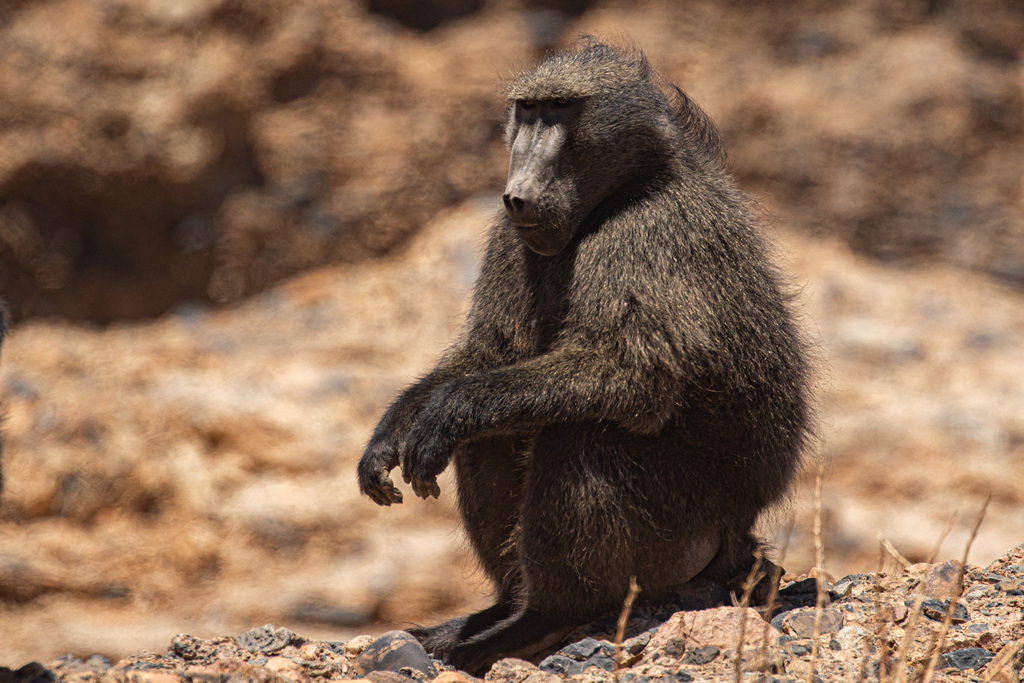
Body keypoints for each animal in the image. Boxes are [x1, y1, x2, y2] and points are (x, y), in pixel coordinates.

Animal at [357, 39, 814, 676]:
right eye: (527, 111)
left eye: (561, 111)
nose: (518, 194)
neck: (620, 191)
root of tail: (738, 536)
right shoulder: (511, 236)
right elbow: (489, 352)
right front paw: (393, 432)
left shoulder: (648, 233)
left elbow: (632, 377)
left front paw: (445, 409)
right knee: (491, 435)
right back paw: (497, 612)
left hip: (678, 533)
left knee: (579, 439)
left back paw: (540, 620)